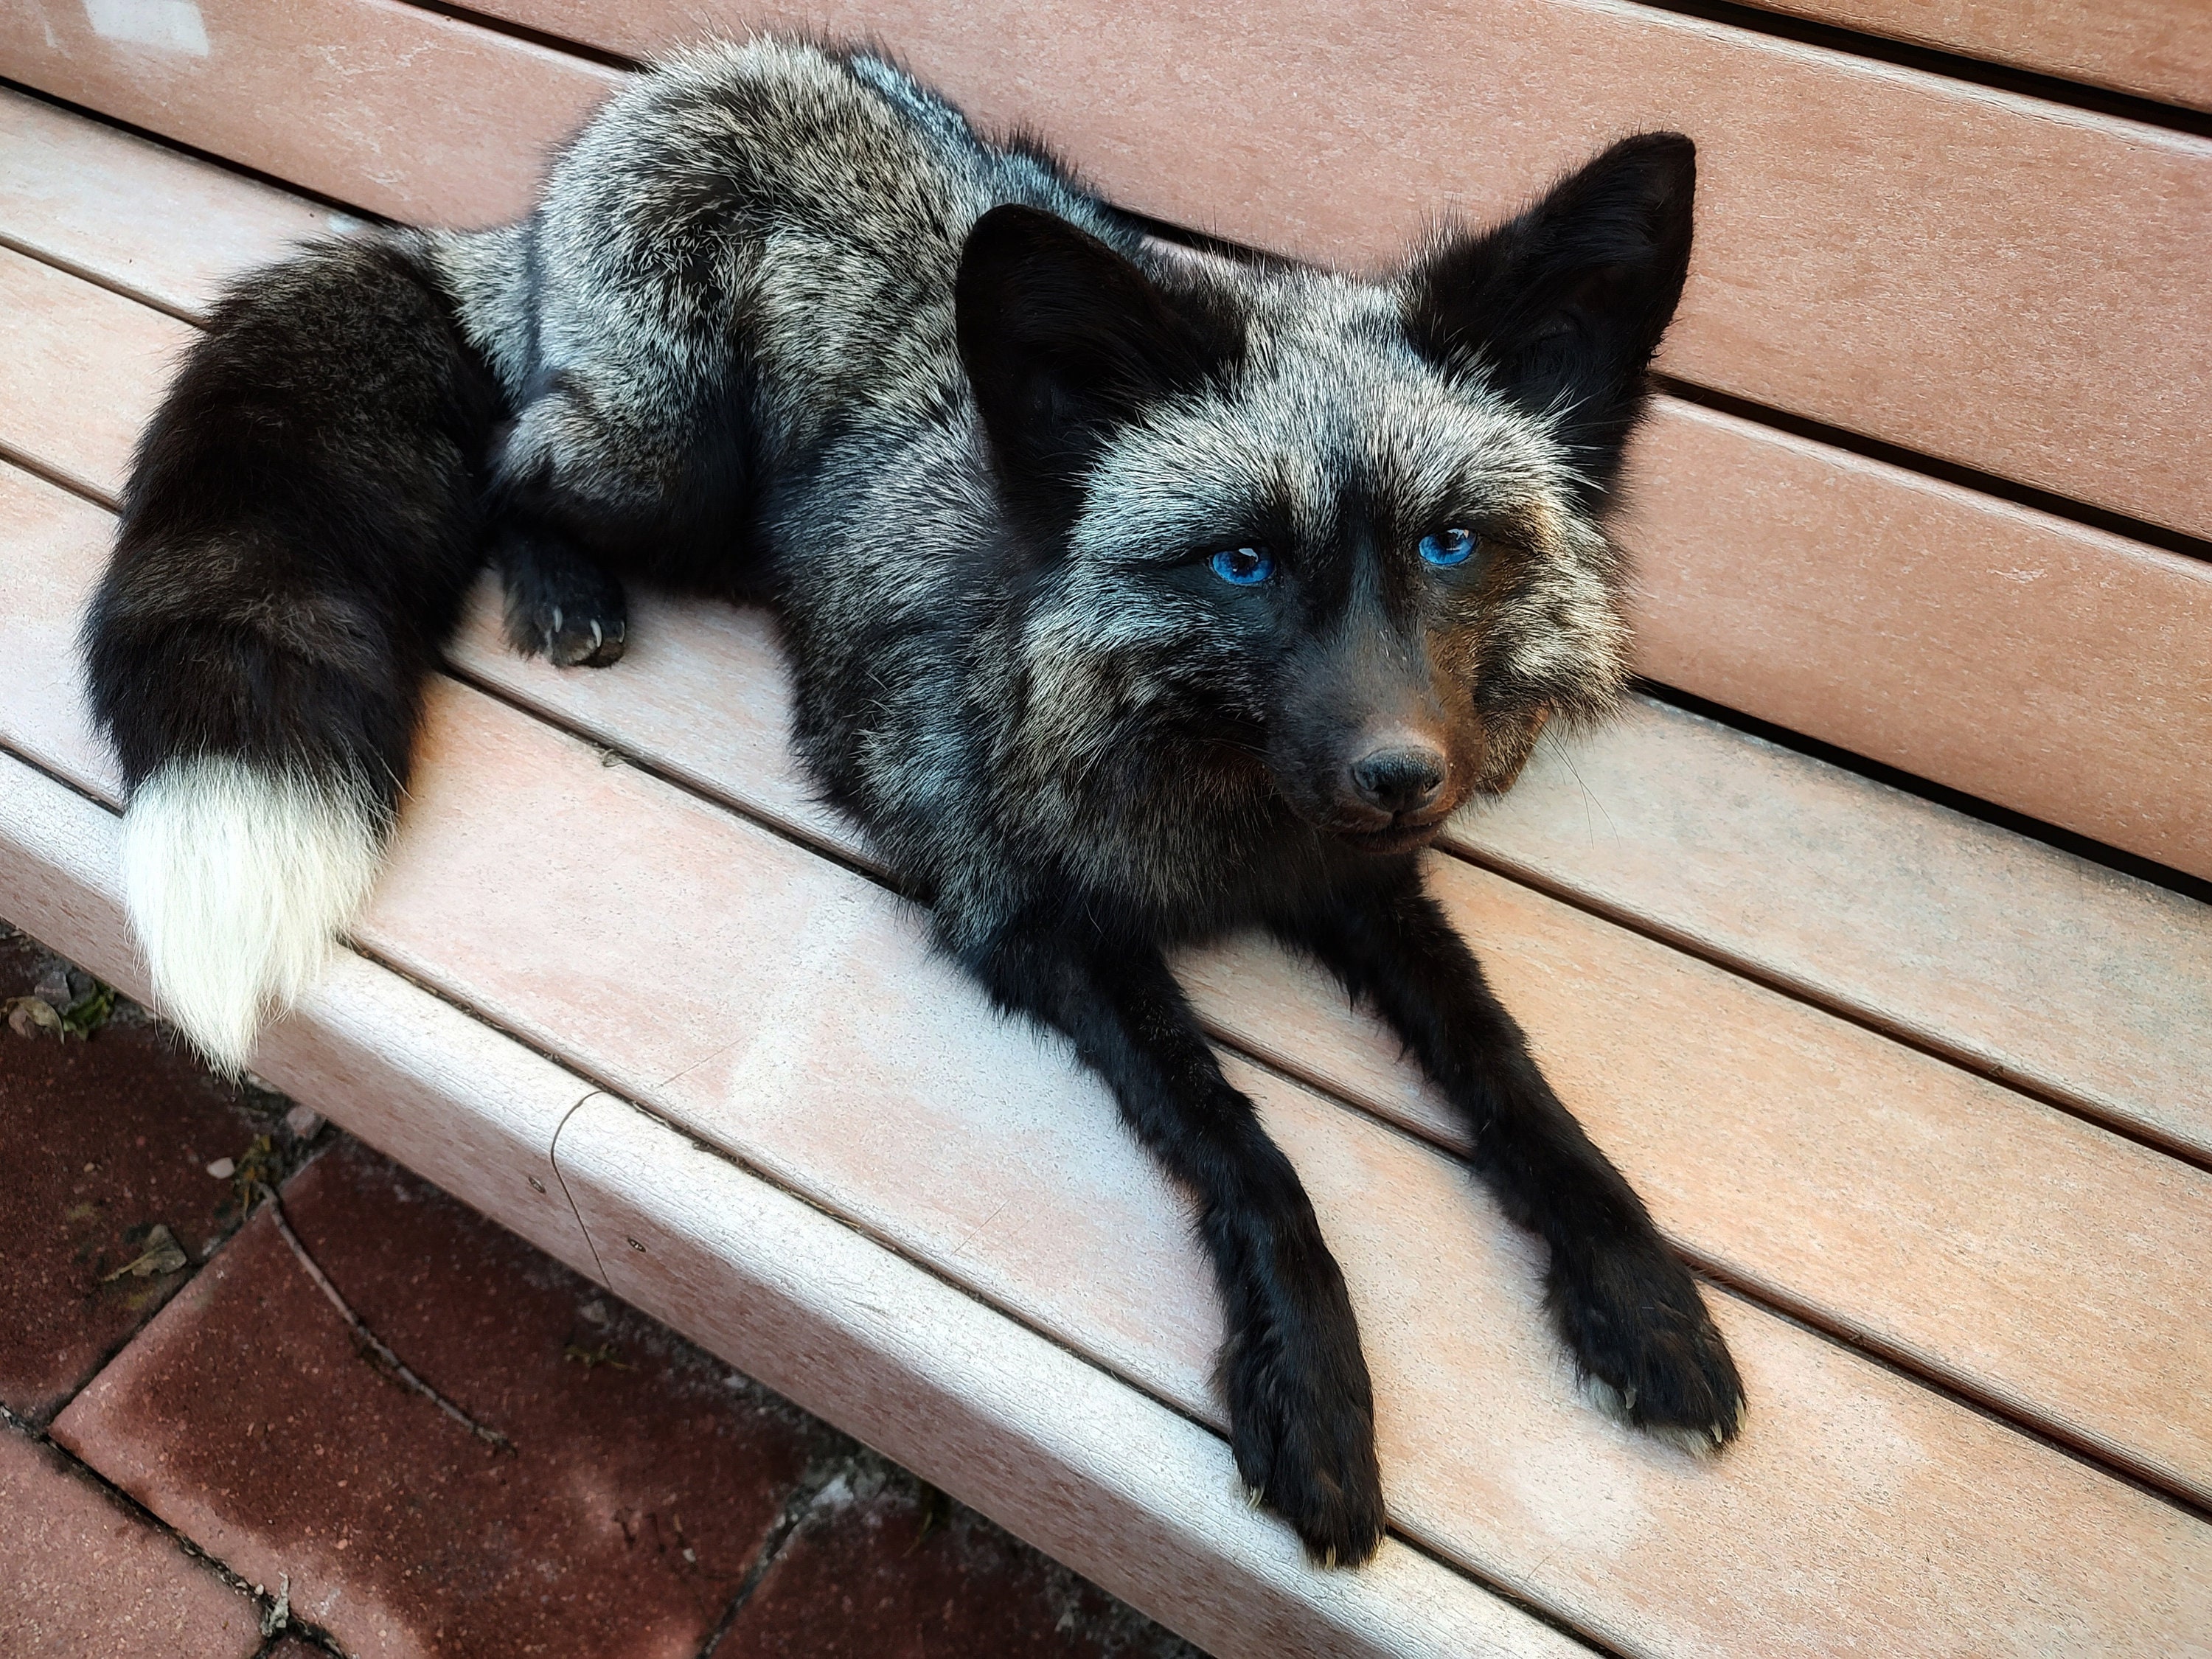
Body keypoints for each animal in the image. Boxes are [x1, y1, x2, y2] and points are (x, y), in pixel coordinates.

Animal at [85, 37, 1744, 1564]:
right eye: (1241, 563)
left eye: (1452, 545)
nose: (1404, 776)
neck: (1221, 818)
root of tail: (643, 100)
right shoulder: (1017, 915)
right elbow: (1241, 1146)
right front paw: (1315, 1387)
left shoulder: (1368, 889)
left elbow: (1510, 1075)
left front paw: (1640, 1291)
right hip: (666, 461)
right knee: (508, 460)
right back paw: (561, 581)